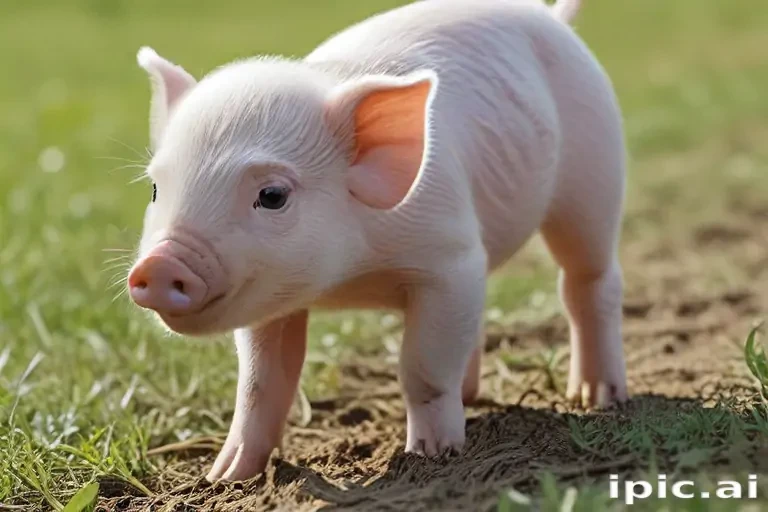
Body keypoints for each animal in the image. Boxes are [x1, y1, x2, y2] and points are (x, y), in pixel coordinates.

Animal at [127, 0, 628, 482]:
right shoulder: (271, 301)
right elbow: (259, 385)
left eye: (272, 196)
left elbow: (423, 368)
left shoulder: (450, 257)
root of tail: (550, 16)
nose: (160, 264)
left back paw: (597, 397)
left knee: (588, 280)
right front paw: (225, 477)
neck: (352, 277)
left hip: (593, 173)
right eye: (155, 189)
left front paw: (430, 456)